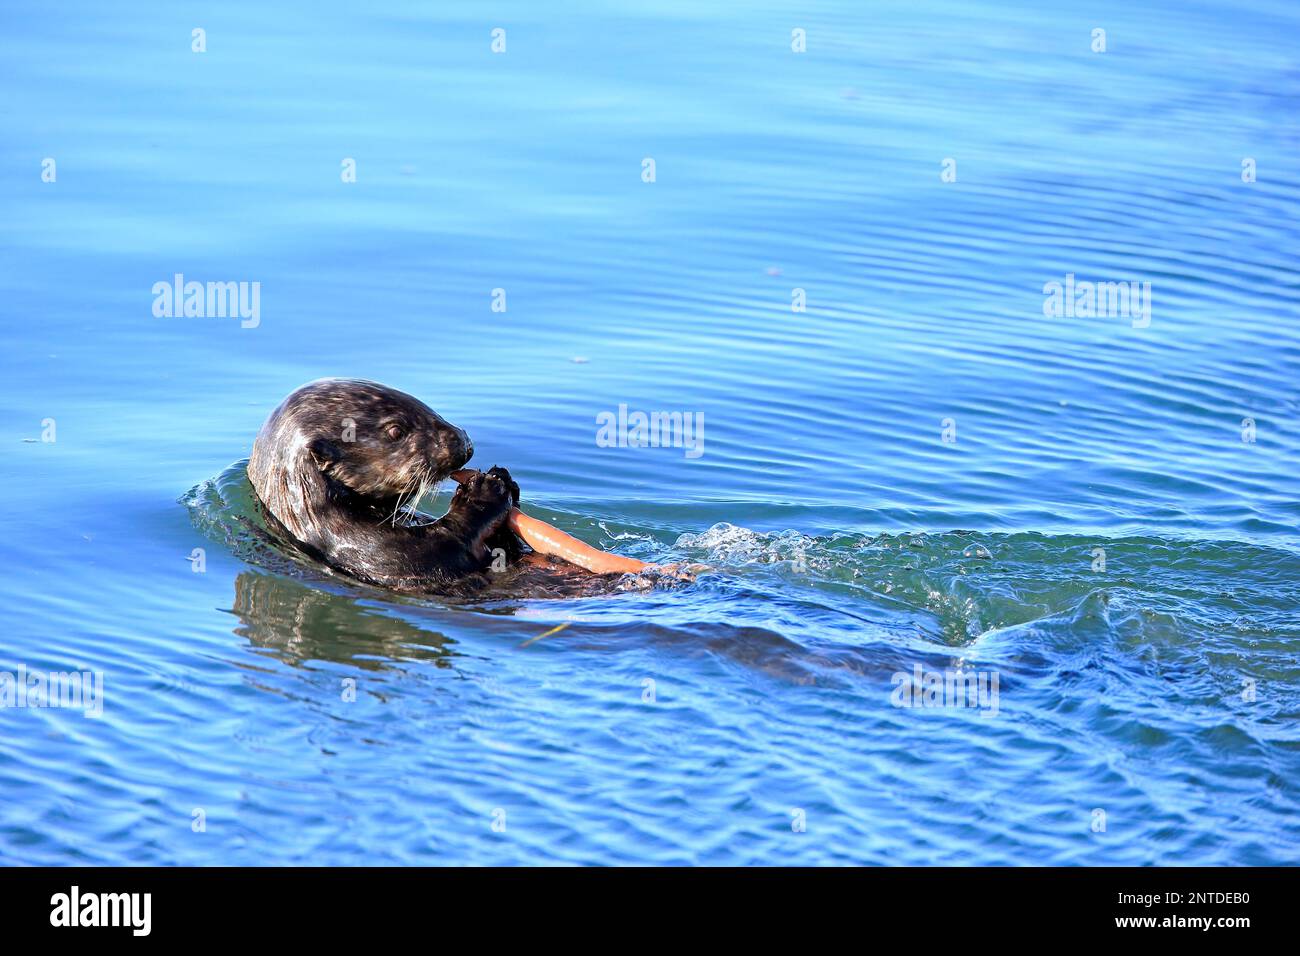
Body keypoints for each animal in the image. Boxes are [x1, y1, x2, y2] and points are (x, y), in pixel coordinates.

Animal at [247, 378, 524, 591]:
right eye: (396, 431)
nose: (464, 443)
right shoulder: (370, 553)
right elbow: (439, 549)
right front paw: (484, 490)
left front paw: (502, 476)